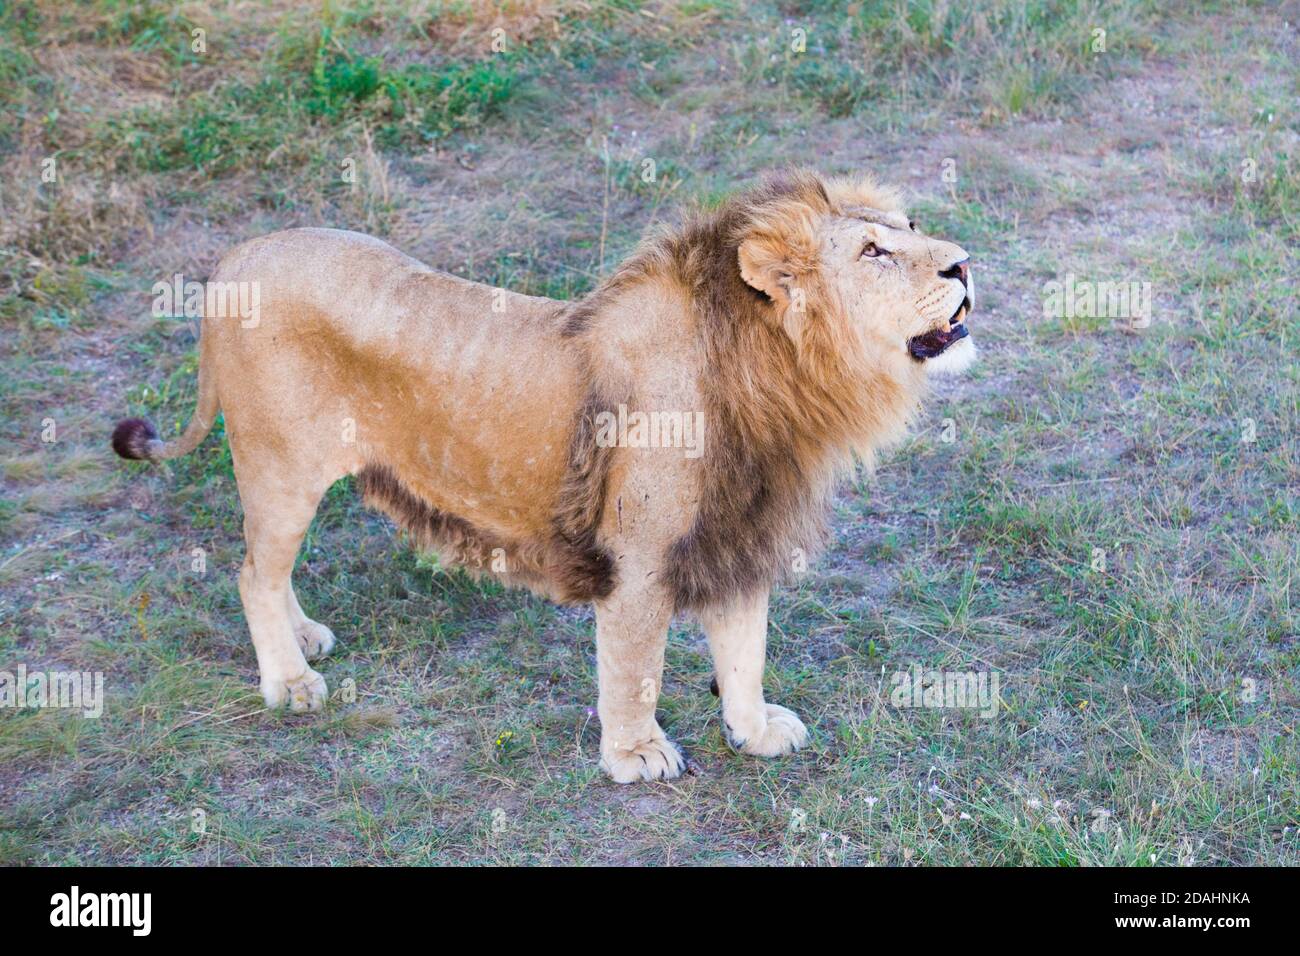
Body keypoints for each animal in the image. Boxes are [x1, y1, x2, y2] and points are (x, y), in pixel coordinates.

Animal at [112, 169, 974, 783]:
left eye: (910, 229)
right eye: (873, 253)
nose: (966, 263)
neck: (785, 379)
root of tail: (237, 257)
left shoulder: (737, 534)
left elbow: (745, 647)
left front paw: (754, 730)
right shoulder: (639, 556)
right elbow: (635, 666)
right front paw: (635, 756)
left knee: (268, 565)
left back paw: (303, 640)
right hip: (282, 467)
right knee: (253, 570)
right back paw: (289, 682)